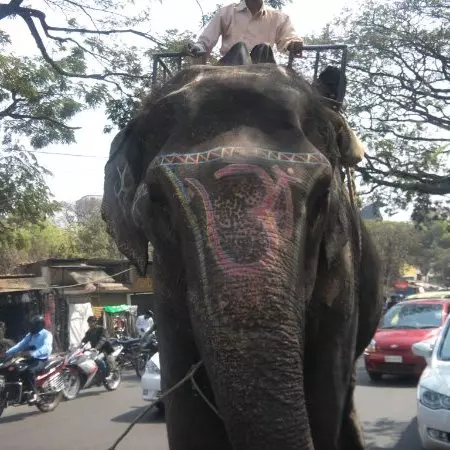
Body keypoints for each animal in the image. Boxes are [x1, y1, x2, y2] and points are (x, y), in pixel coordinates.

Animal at [102, 46, 384, 450]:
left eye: (322, 198)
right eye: (157, 204)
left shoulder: (341, 276)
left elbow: (324, 401)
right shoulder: (164, 292)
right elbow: (188, 417)